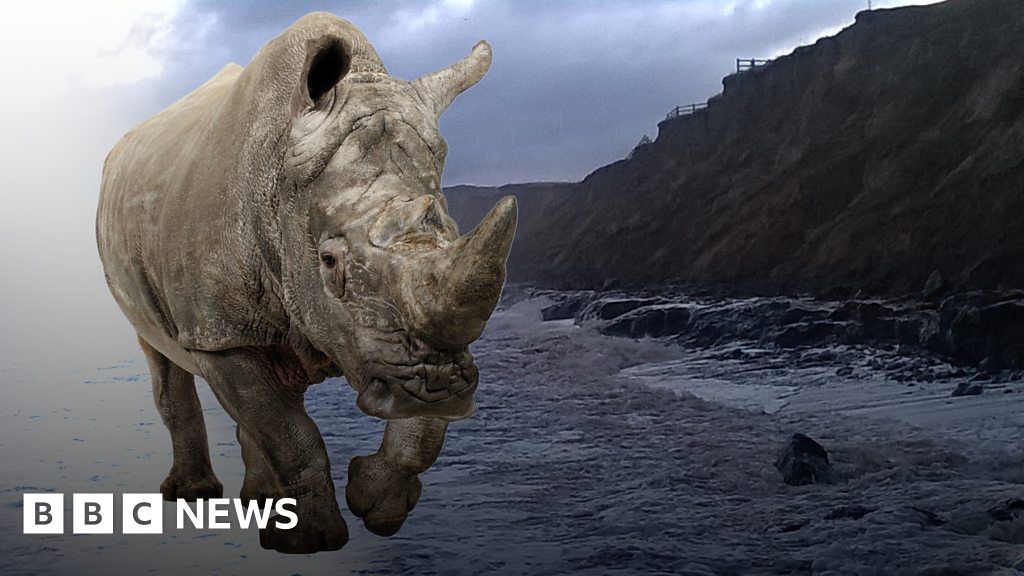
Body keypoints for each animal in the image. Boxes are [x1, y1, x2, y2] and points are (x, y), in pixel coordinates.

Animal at [96, 13, 515, 553]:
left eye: (454, 232)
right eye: (329, 262)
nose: (437, 386)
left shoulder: (414, 335)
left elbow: (418, 432)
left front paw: (376, 506)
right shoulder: (219, 334)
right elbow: (289, 433)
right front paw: (308, 541)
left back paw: (256, 502)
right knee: (162, 354)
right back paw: (194, 499)